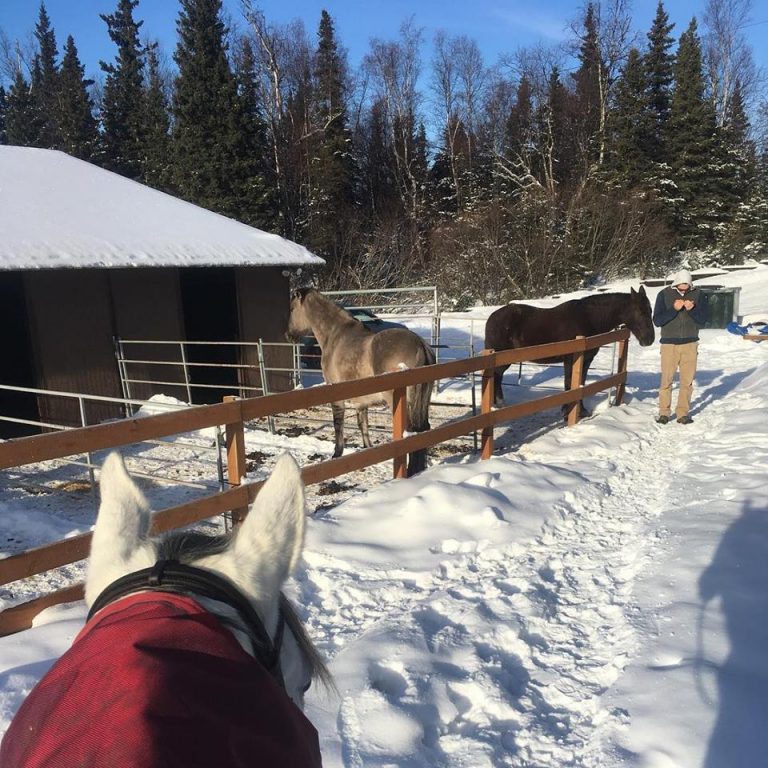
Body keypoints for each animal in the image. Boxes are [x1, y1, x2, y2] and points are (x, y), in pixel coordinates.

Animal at [287, 287, 435, 476]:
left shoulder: (336, 395)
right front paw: (368, 450)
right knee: (423, 429)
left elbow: (338, 424)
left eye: (292, 309)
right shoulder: (361, 400)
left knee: (410, 431)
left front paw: (337, 453)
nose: (288, 335)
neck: (335, 336)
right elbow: (363, 425)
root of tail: (420, 345)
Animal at [484, 287, 655, 415]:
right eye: (640, 312)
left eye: (650, 311)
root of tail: (492, 318)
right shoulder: (571, 359)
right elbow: (569, 384)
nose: (649, 339)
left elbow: (580, 384)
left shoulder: (586, 360)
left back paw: (497, 405)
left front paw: (581, 410)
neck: (588, 318)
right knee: (496, 377)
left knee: (497, 377)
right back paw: (497, 405)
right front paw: (567, 412)